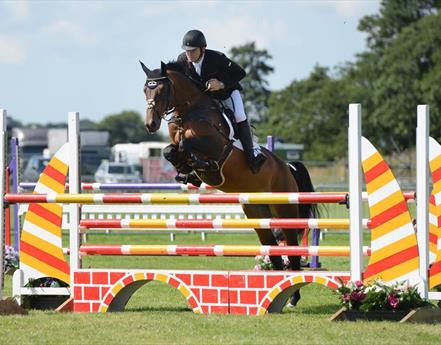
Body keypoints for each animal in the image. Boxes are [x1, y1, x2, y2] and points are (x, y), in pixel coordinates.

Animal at [139, 60, 314, 306]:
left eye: (162, 90)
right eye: (145, 89)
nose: (150, 124)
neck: (189, 111)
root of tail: (287, 167)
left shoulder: (217, 145)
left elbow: (187, 143)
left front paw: (199, 163)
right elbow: (170, 150)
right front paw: (187, 172)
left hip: (284, 208)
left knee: (292, 246)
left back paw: (293, 295)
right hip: (256, 211)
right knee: (272, 247)